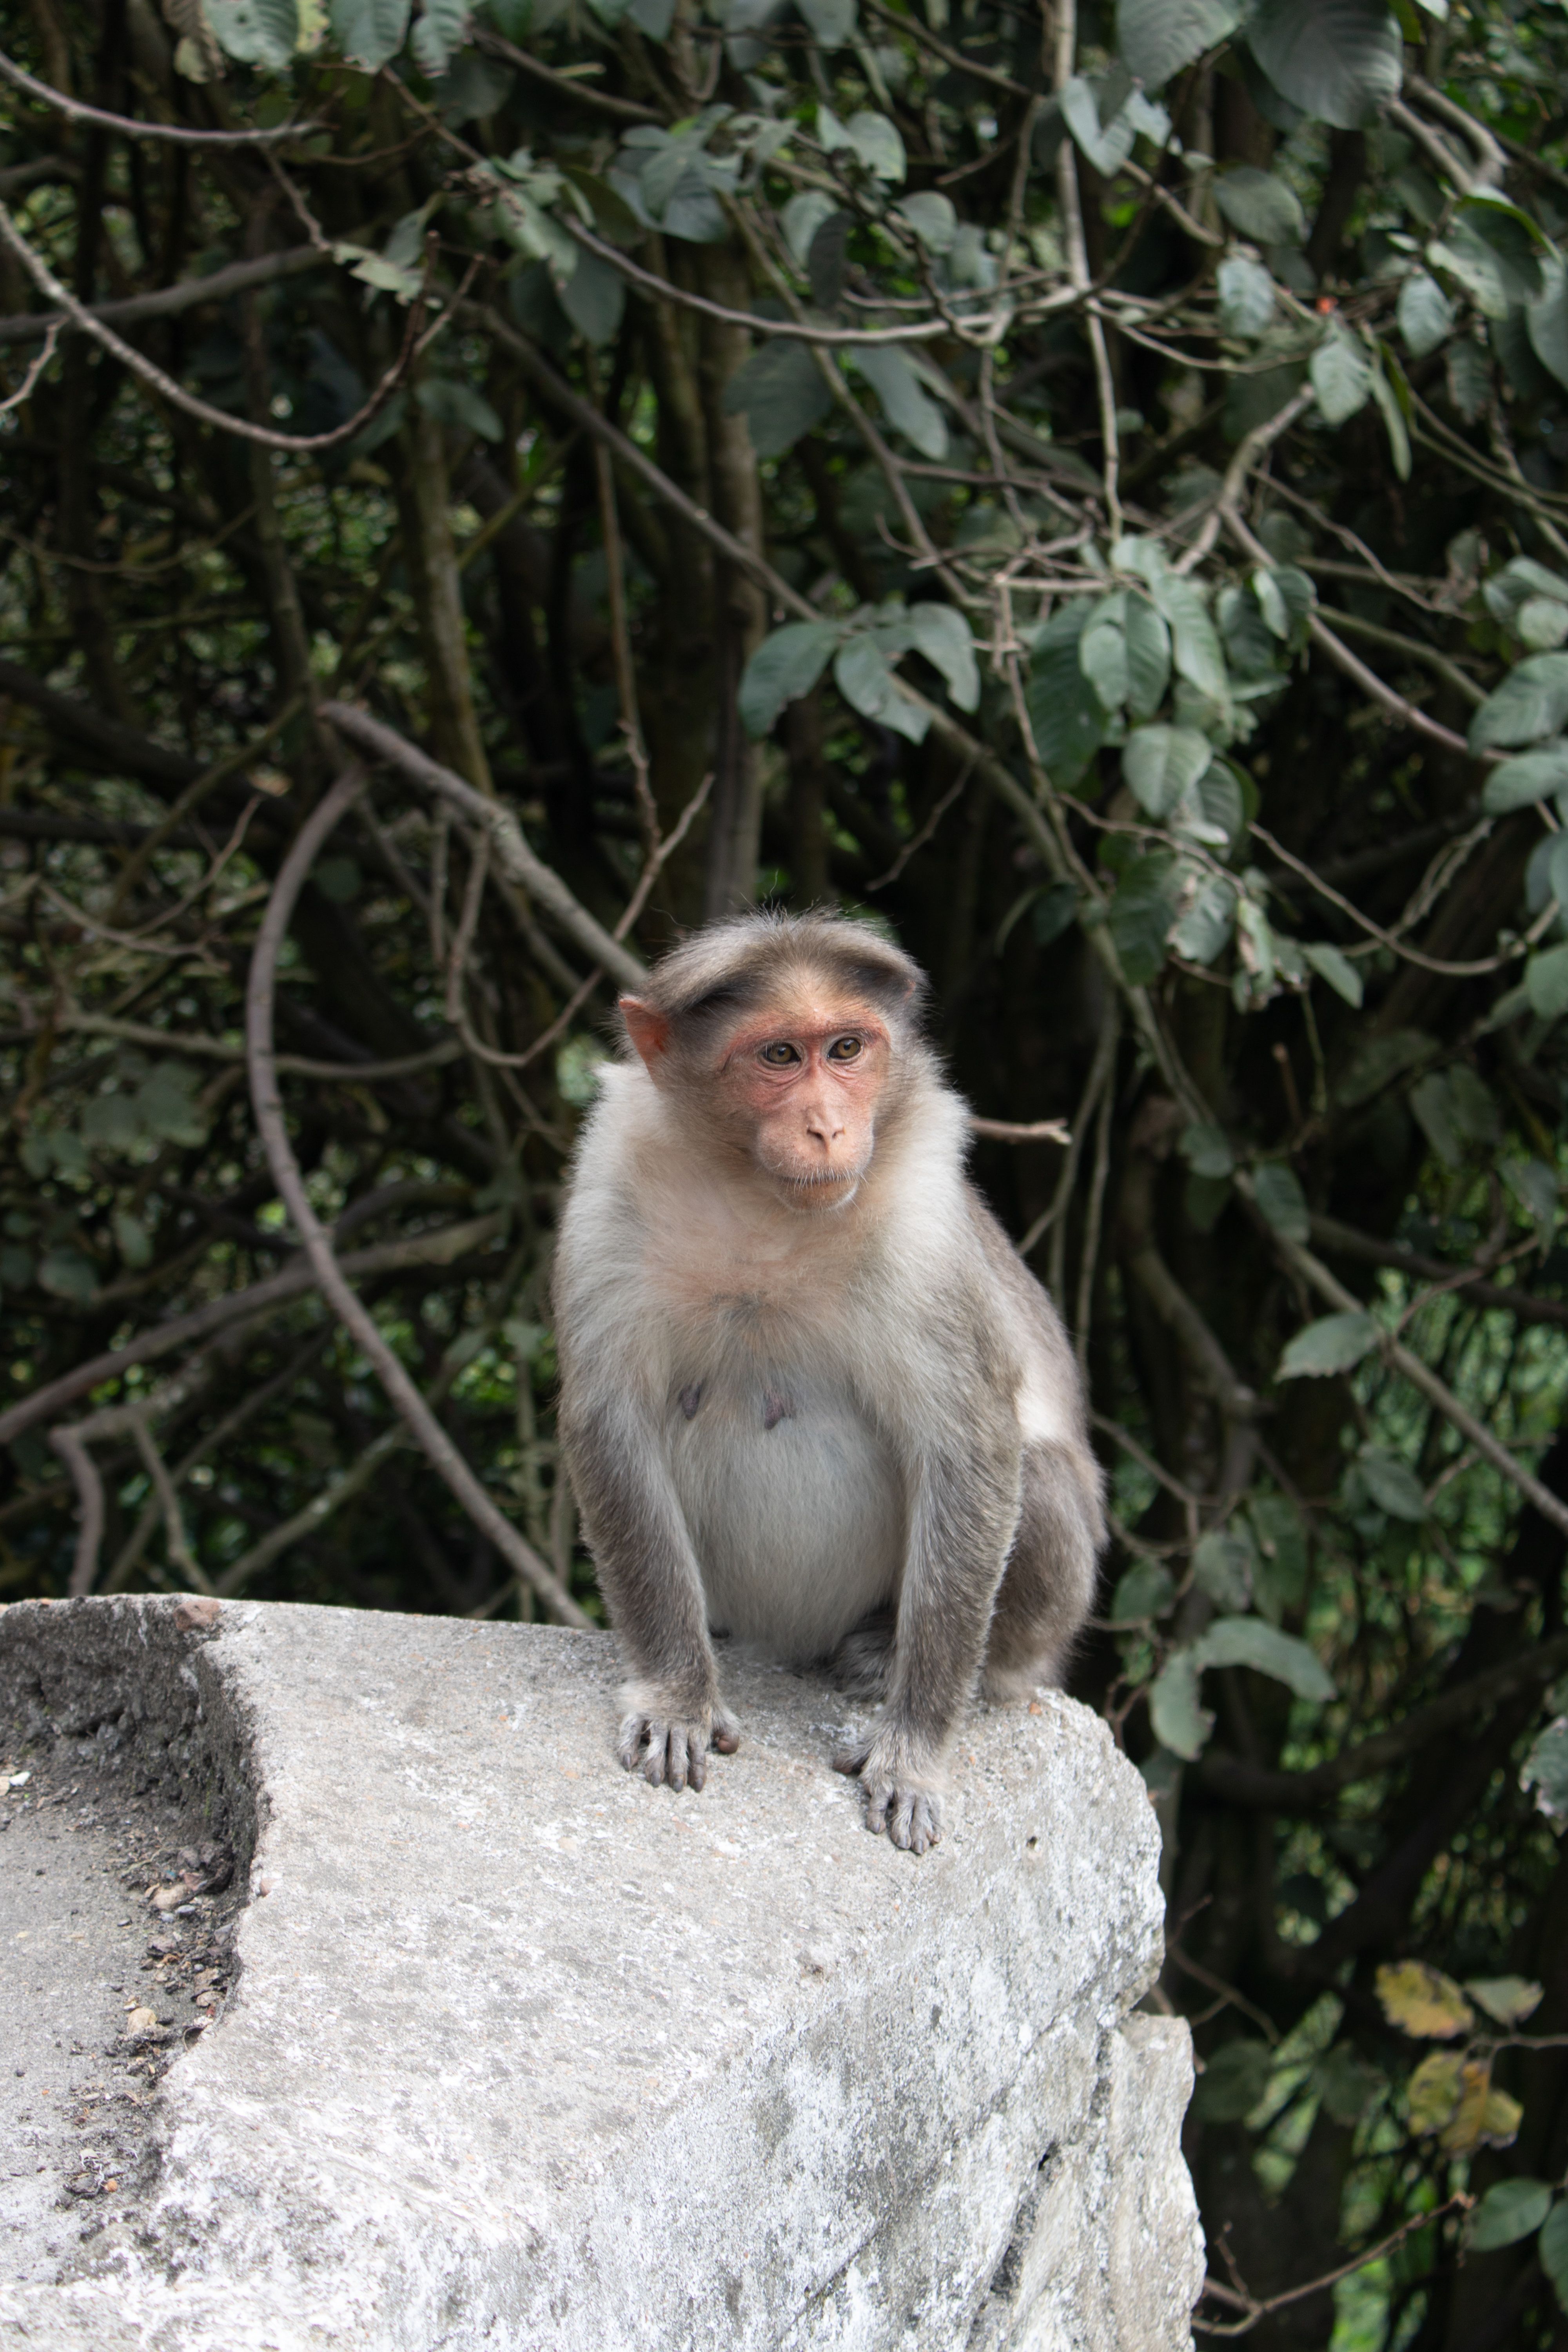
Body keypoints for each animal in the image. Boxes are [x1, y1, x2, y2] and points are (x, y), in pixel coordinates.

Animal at [551, 912, 1104, 1854]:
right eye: (780, 1056)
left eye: (846, 1049)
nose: (826, 1128)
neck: (762, 1205)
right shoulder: (607, 1191)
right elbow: (611, 1421)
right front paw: (677, 1694)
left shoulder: (923, 1231)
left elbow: (971, 1452)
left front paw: (912, 1749)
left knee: (1040, 1480)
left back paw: (893, 1651)